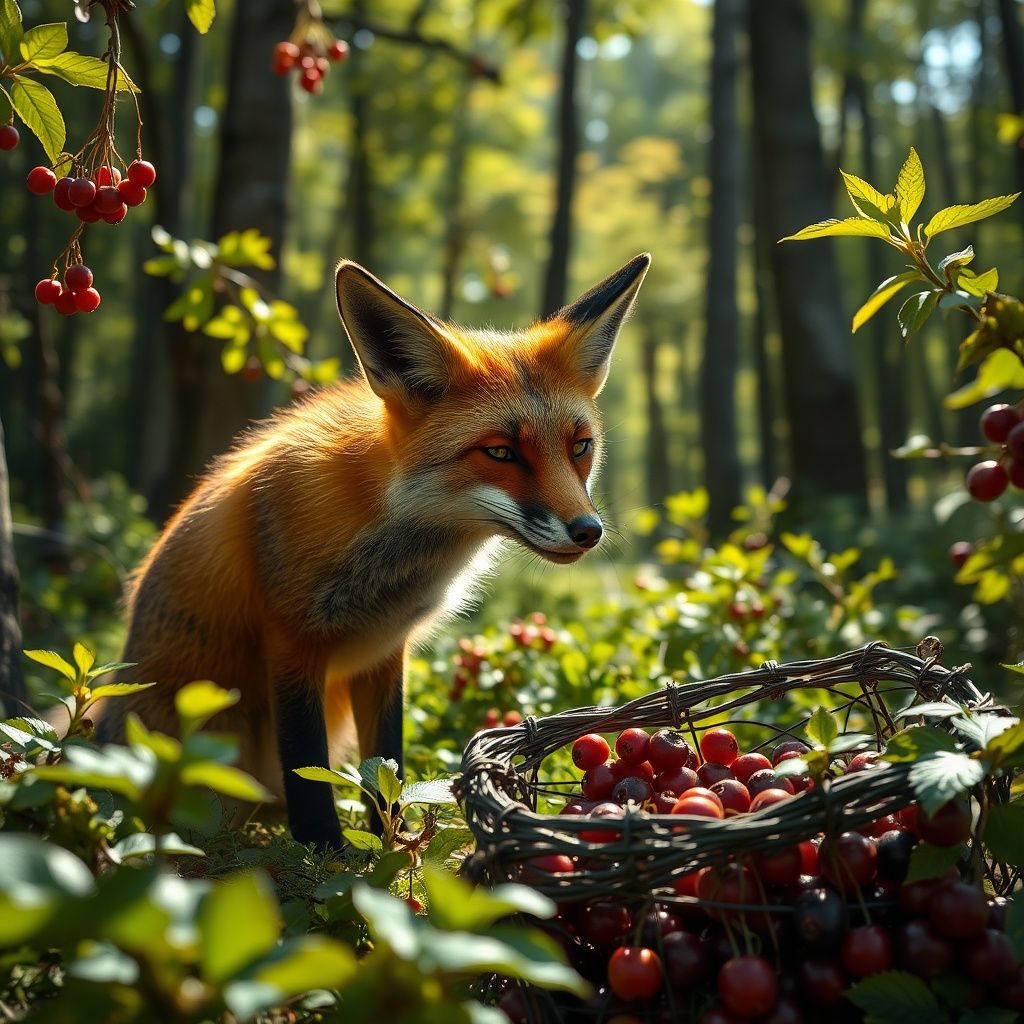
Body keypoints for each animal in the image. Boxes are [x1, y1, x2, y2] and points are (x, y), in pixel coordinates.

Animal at [94, 252, 650, 850]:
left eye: (580, 447)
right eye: (501, 452)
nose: (588, 531)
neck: (392, 549)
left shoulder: (388, 648)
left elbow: (387, 760)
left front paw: (393, 836)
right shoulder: (291, 639)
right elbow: (306, 765)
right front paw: (325, 848)